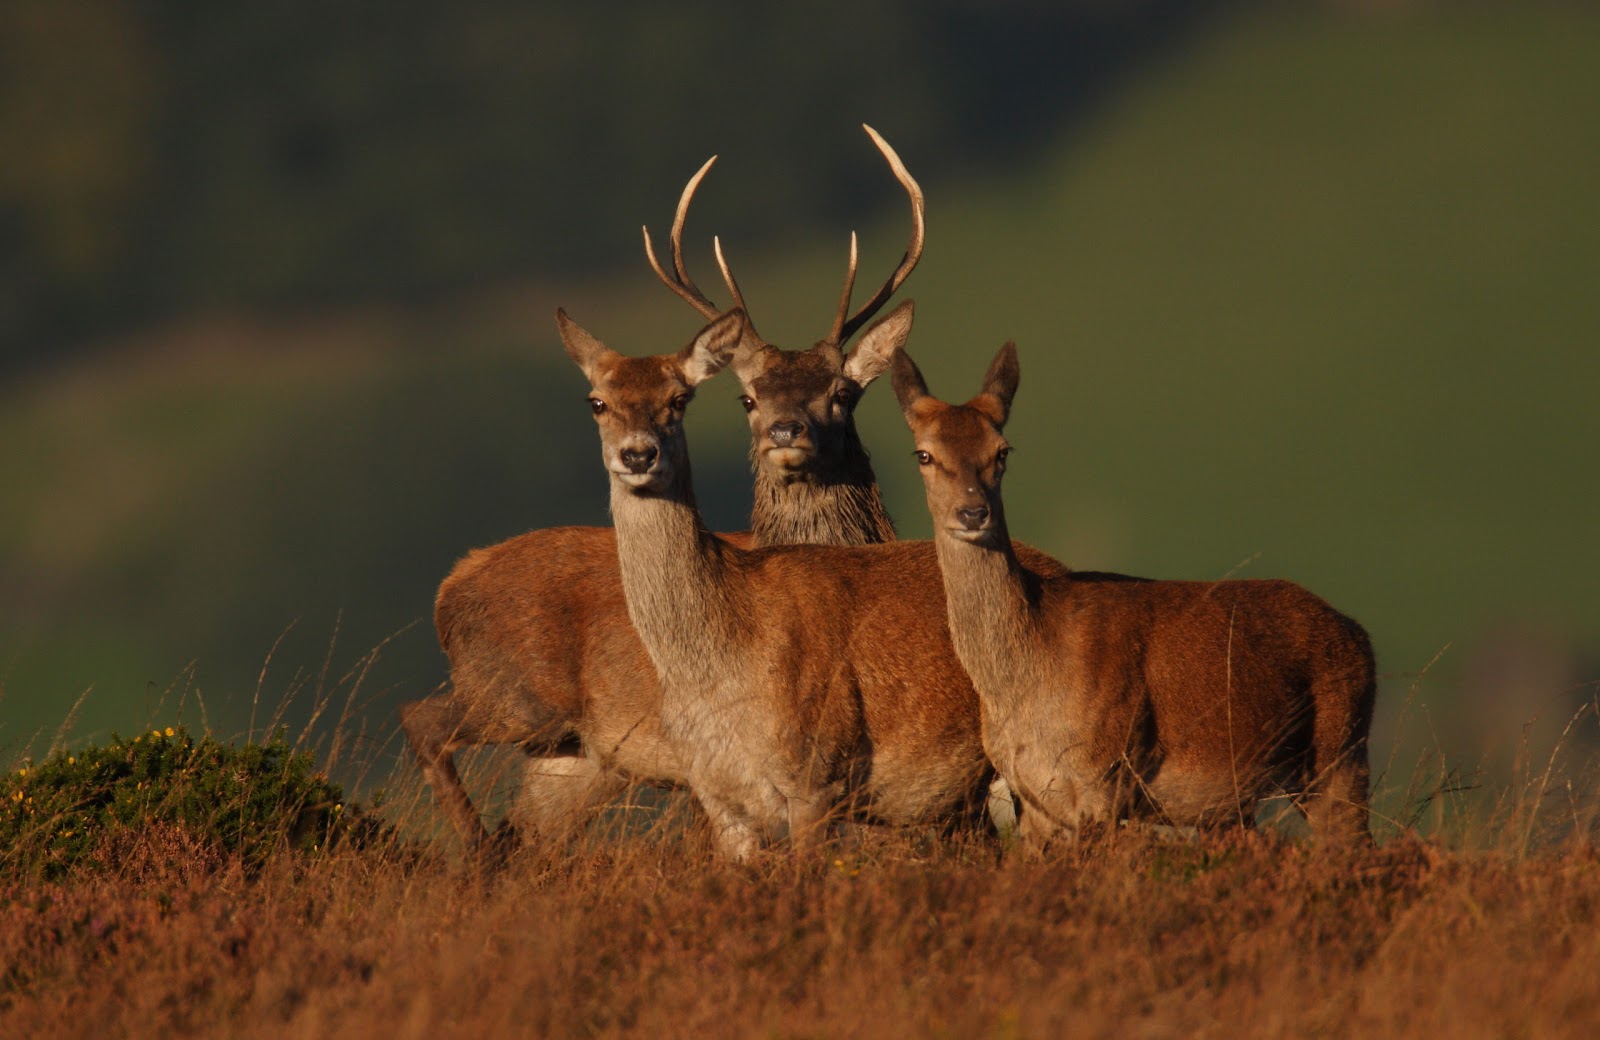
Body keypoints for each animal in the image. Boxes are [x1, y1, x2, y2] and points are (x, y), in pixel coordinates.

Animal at [401, 126, 942, 856]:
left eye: (843, 393)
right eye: (747, 396)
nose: (786, 429)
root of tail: (452, 582)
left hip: (571, 757)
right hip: (513, 693)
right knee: (426, 724)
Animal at [889, 341, 1377, 849]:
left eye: (1002, 451)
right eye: (923, 454)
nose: (973, 511)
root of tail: (1360, 635)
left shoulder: (1105, 775)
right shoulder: (1033, 796)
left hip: (1339, 752)